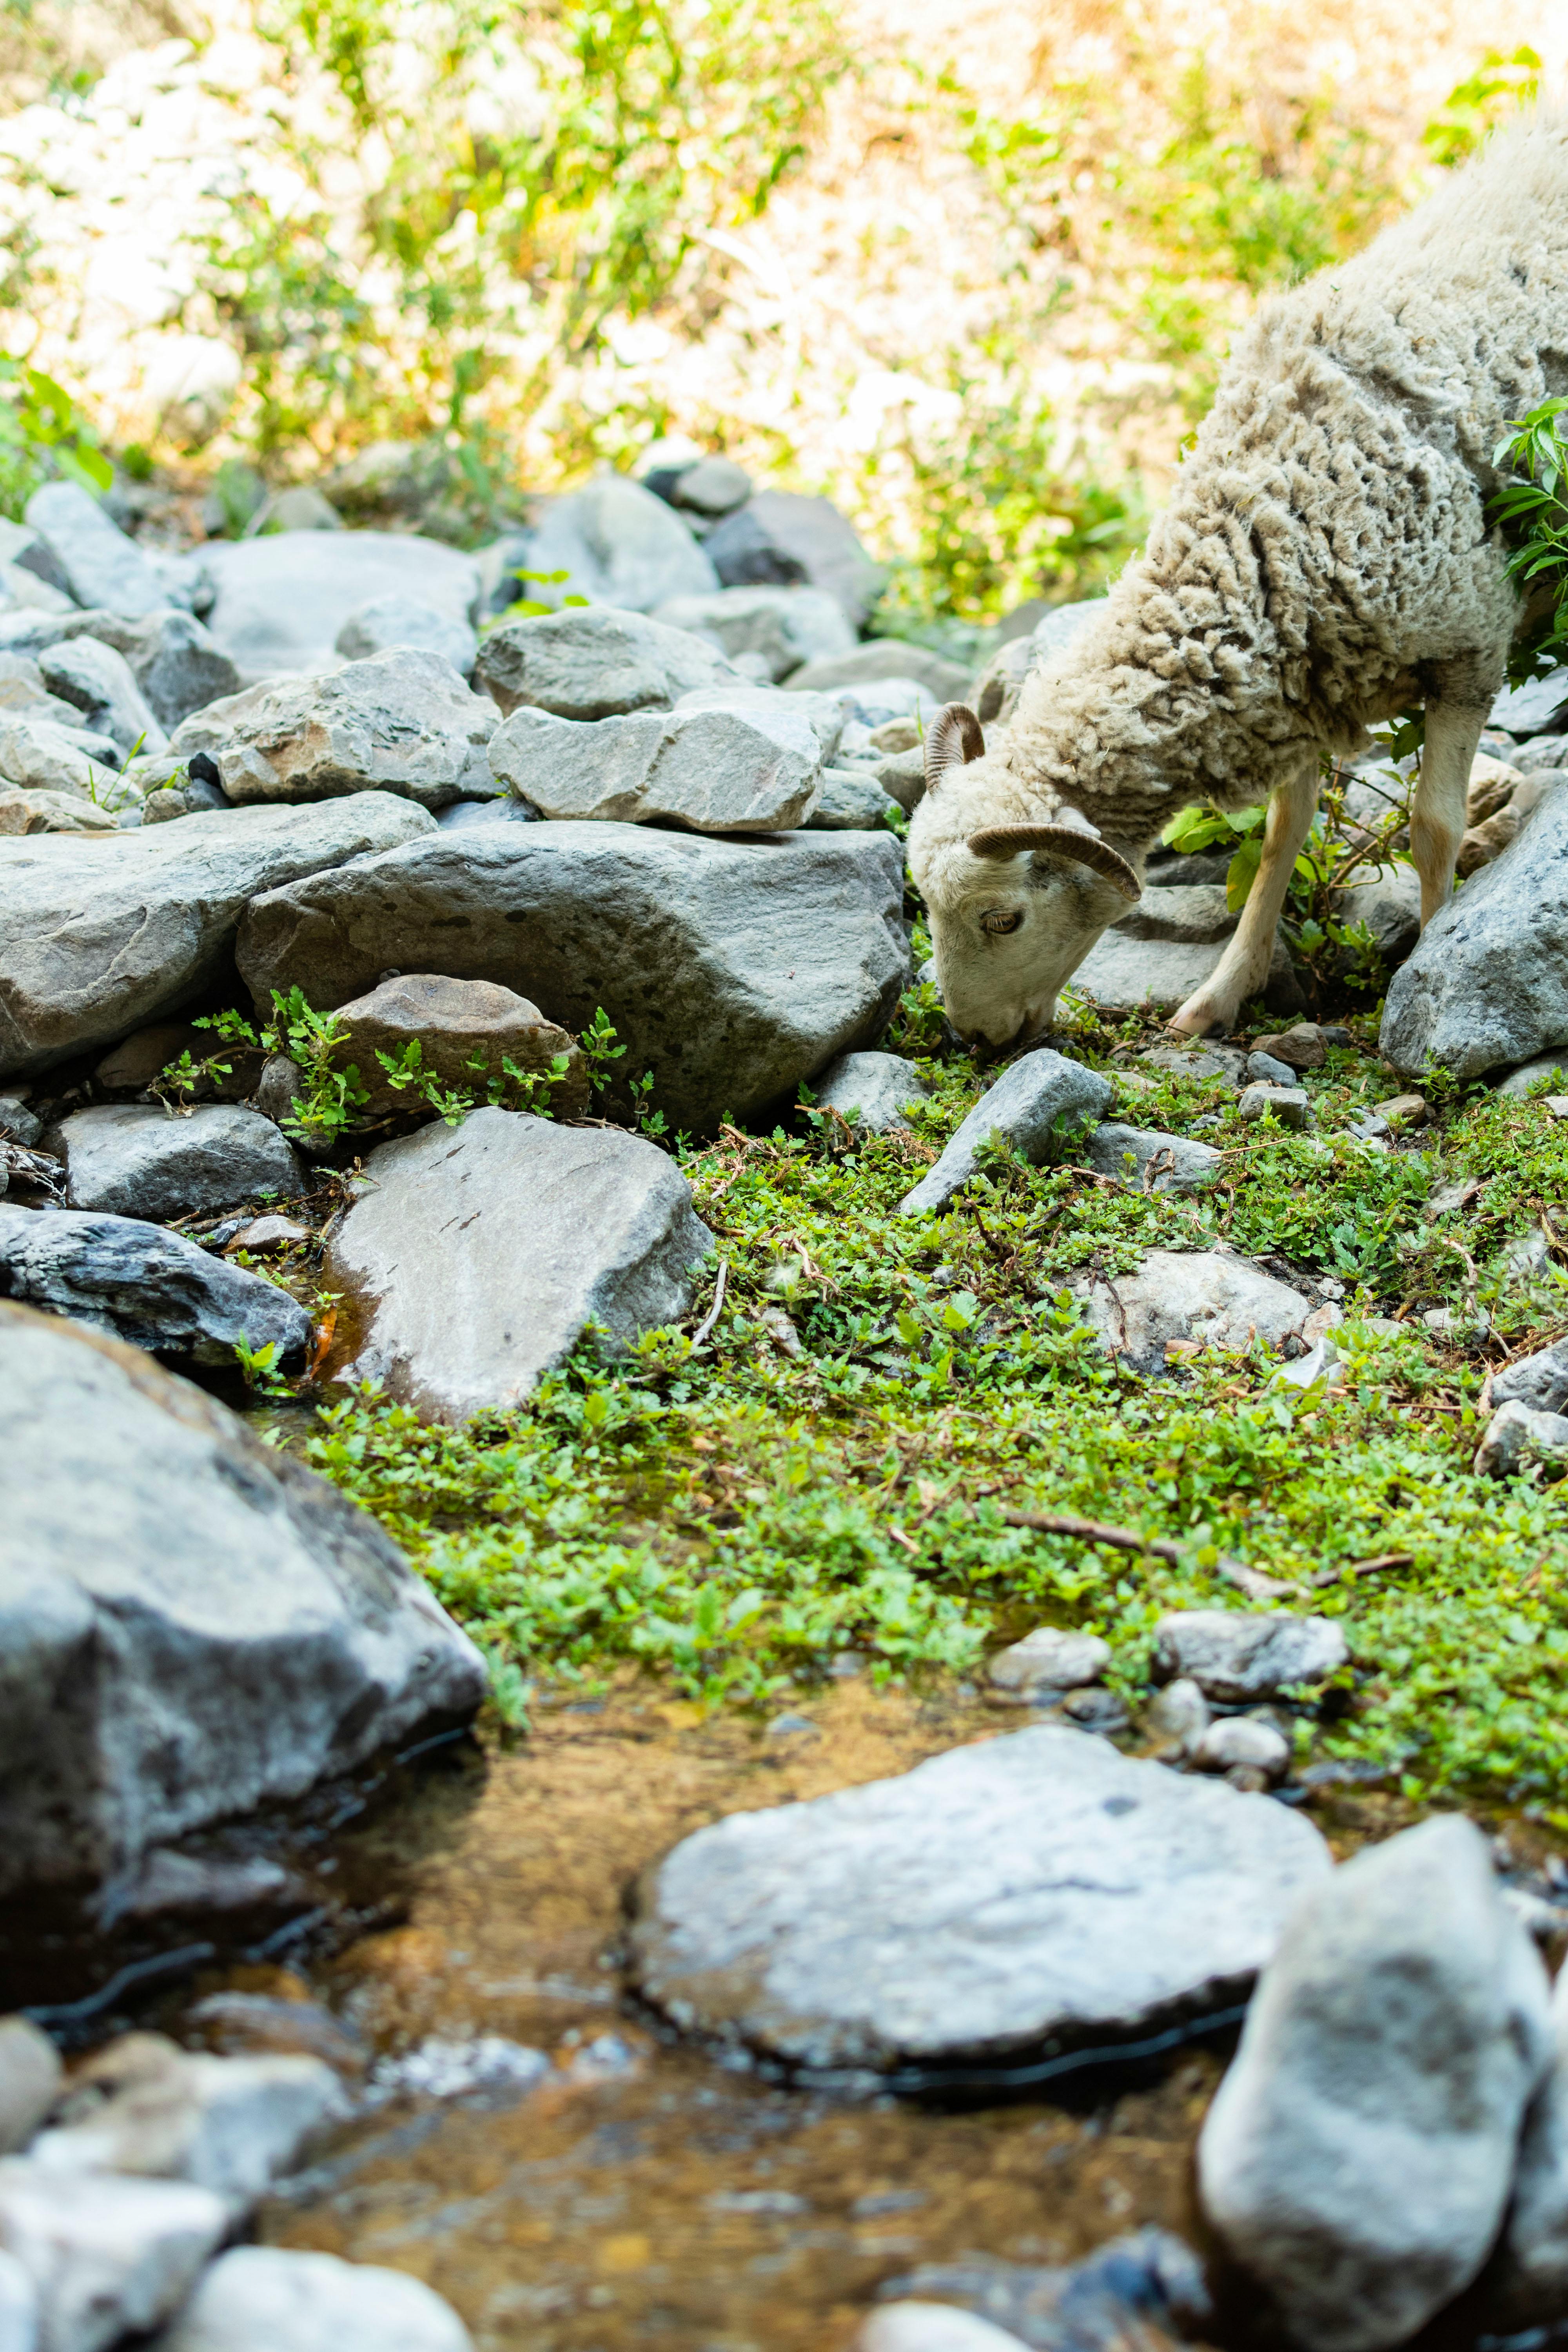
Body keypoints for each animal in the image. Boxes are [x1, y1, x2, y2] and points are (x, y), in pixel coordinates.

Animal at [908, 109, 1568, 1046]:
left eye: (1004, 919)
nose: (971, 1039)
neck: (1260, 531)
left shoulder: (1466, 649)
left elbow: (1433, 828)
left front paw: (1438, 974)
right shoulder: (1308, 680)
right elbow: (1281, 837)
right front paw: (1222, 993)